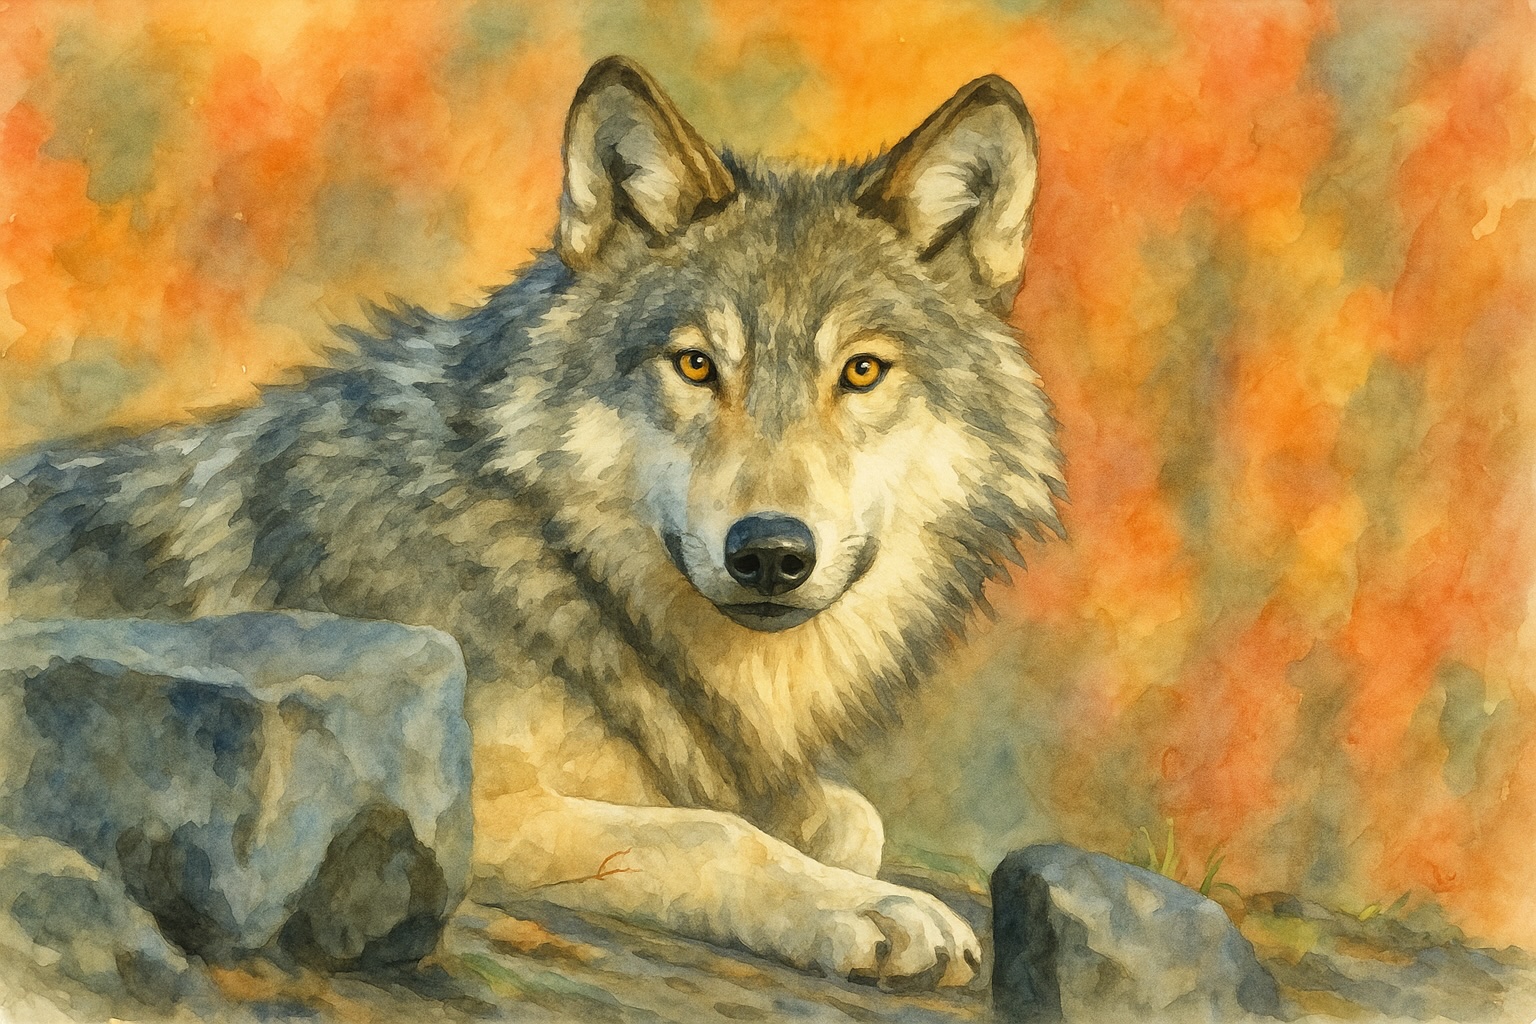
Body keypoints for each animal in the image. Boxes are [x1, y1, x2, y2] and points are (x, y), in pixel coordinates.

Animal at [0, 57, 1063, 989]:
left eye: (862, 371)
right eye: (695, 365)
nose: (769, 552)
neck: (557, 567)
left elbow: (850, 818)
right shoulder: (467, 809)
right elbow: (712, 832)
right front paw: (869, 911)